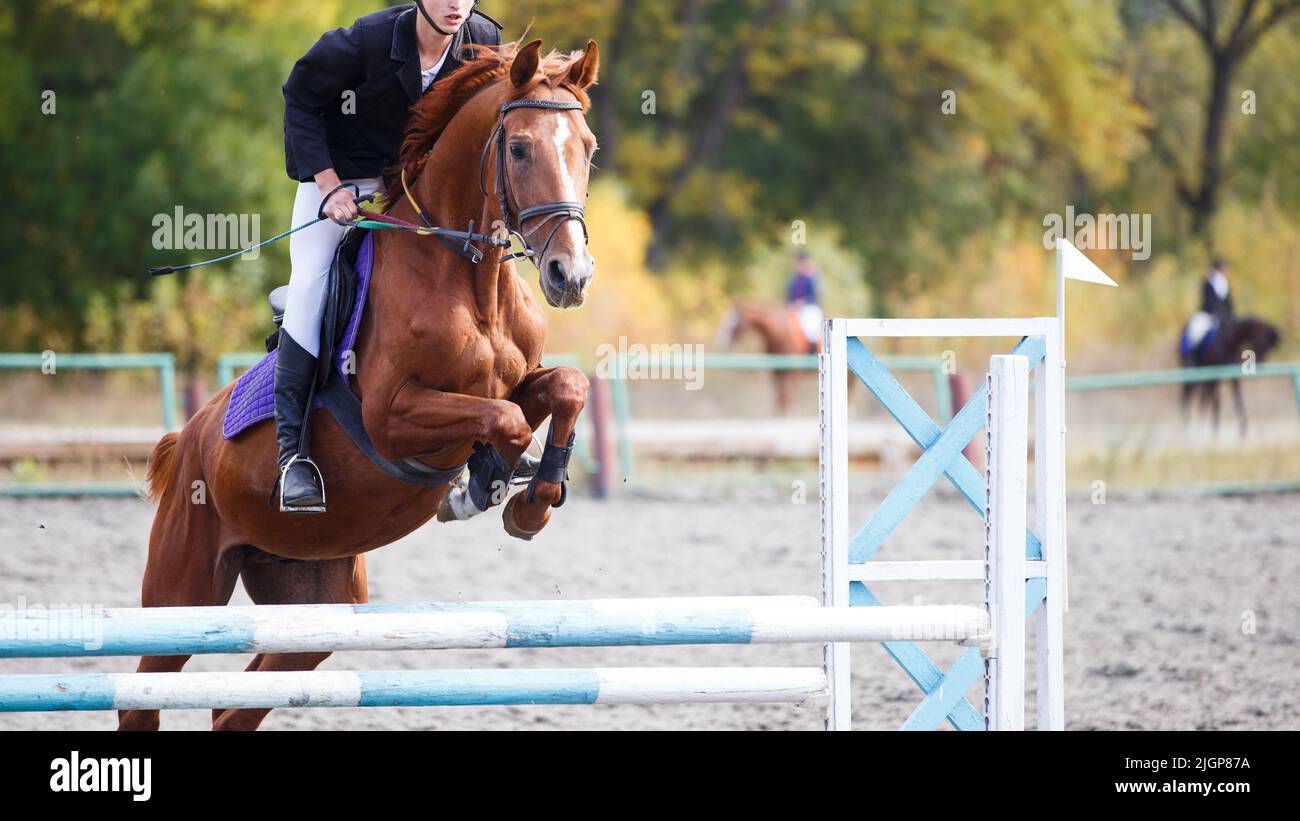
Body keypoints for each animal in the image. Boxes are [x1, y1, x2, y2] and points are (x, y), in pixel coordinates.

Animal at [118, 40, 601, 731]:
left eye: (587, 147)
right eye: (518, 148)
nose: (571, 276)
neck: (470, 280)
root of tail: (187, 438)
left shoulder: (515, 385)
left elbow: (564, 387)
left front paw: (530, 498)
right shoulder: (391, 418)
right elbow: (501, 421)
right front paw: (483, 488)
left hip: (311, 603)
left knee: (237, 707)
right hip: (181, 593)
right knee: (144, 693)